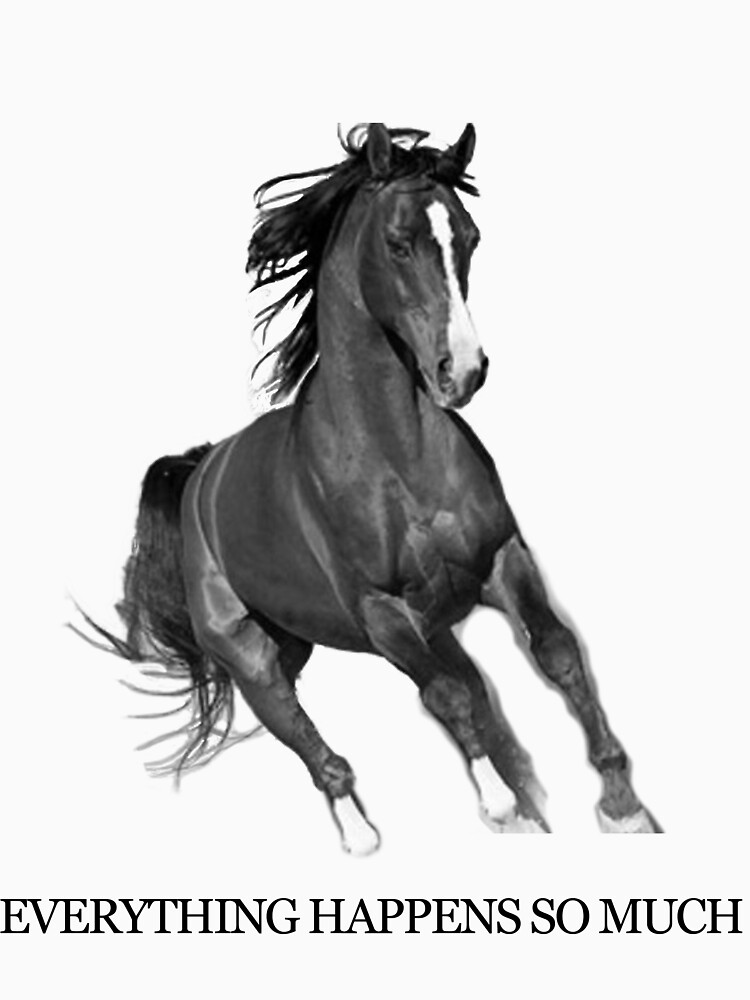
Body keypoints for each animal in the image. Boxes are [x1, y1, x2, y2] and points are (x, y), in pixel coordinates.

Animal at [83, 123, 658, 854]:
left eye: (470, 237)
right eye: (398, 242)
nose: (462, 371)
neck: (396, 458)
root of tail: (200, 473)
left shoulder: (500, 559)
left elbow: (556, 654)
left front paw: (621, 805)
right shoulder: (380, 610)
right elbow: (446, 698)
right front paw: (500, 805)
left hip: (385, 629)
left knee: (469, 690)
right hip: (253, 655)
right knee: (313, 743)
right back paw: (362, 834)